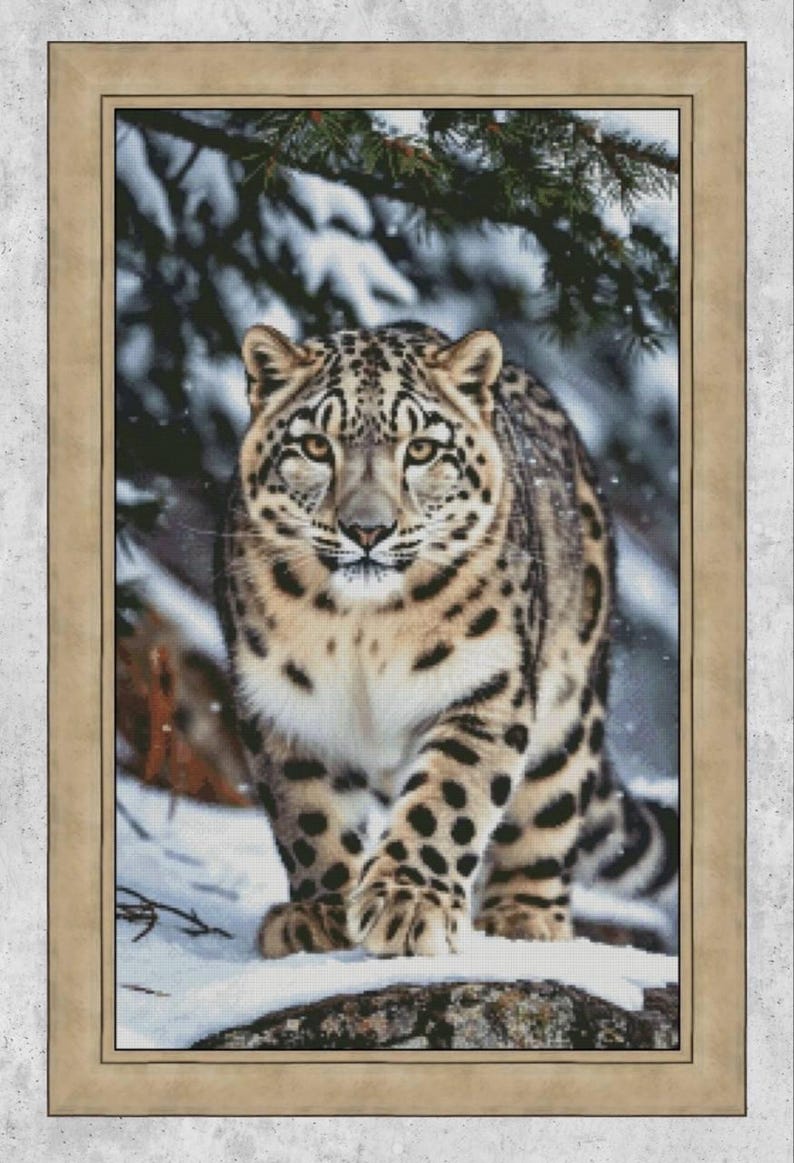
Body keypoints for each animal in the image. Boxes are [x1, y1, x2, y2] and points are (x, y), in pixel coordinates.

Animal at [215, 320, 677, 959]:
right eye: (315, 446)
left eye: (421, 449)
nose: (366, 530)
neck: (362, 630)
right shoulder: (285, 703)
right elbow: (309, 816)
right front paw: (320, 915)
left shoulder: (485, 689)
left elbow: (448, 797)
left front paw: (409, 907)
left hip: (569, 709)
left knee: (551, 805)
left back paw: (525, 918)